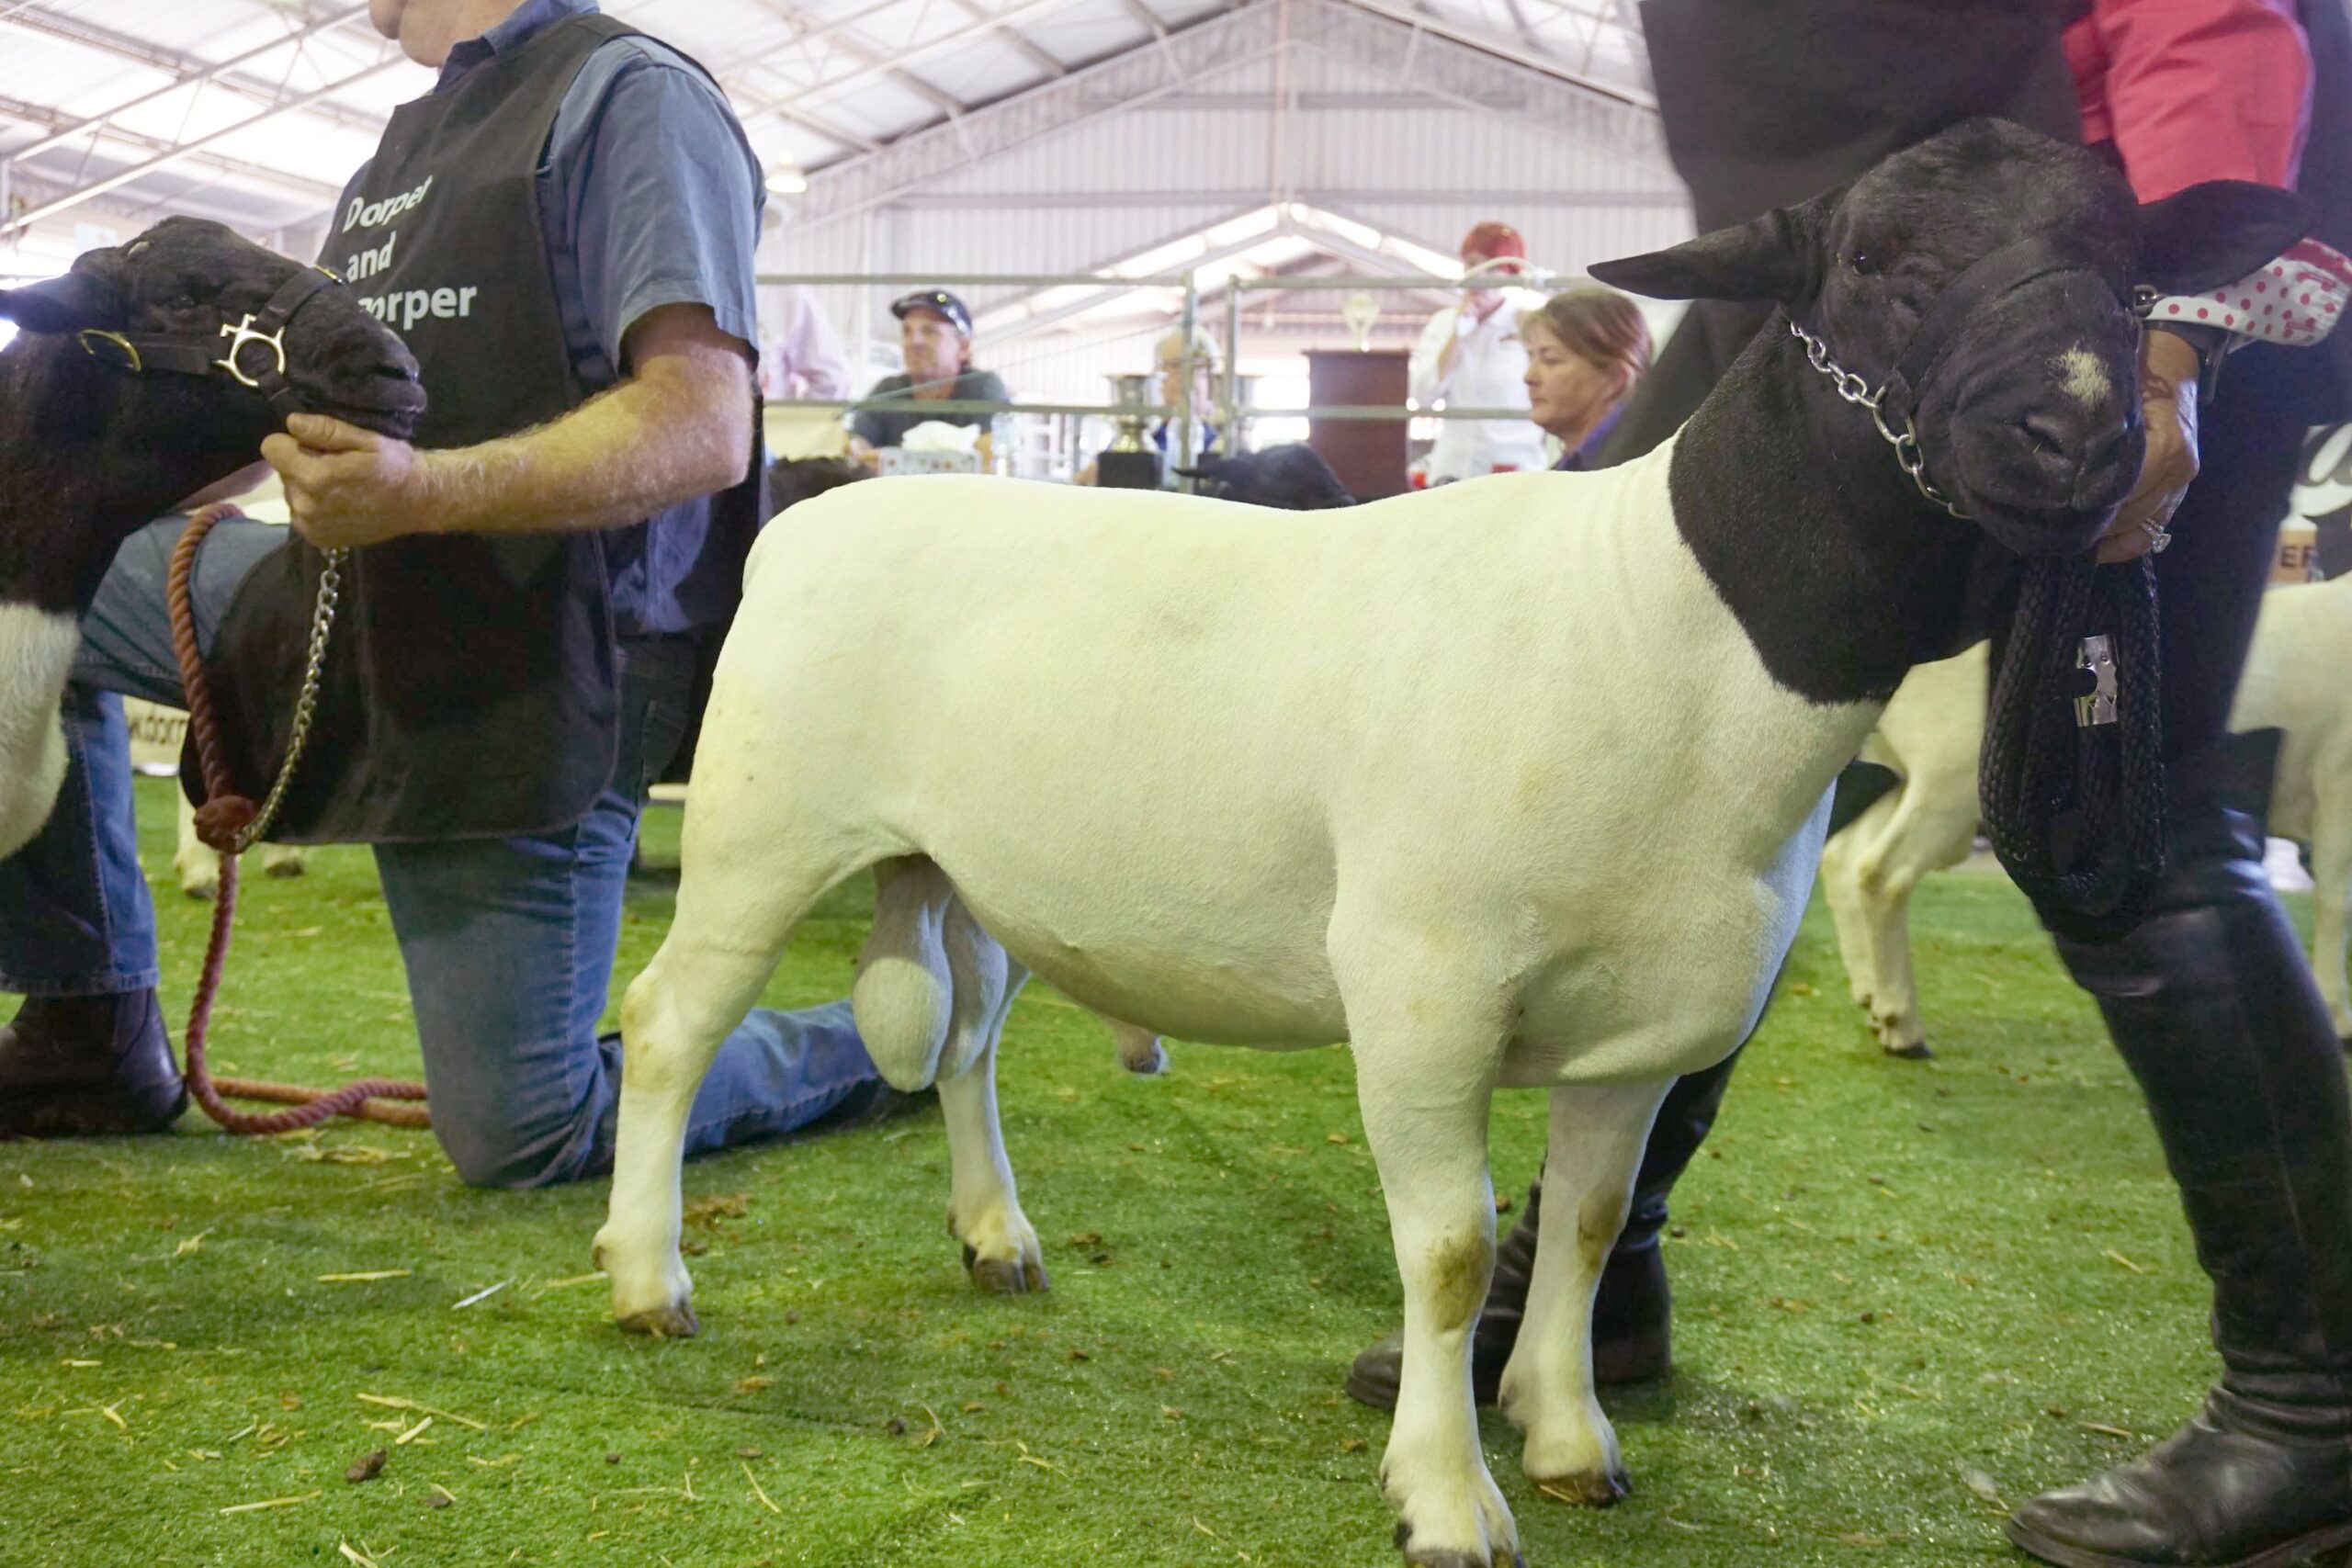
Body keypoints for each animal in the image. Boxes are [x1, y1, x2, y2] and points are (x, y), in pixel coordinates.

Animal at [1828, 571, 2352, 1058]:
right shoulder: (2337, 784)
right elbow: (2337, 902)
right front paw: (2337, 1015)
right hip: (1950, 778)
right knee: (1882, 873)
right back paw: (1902, 1024)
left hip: (1900, 771)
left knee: (1844, 859)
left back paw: (1871, 995)